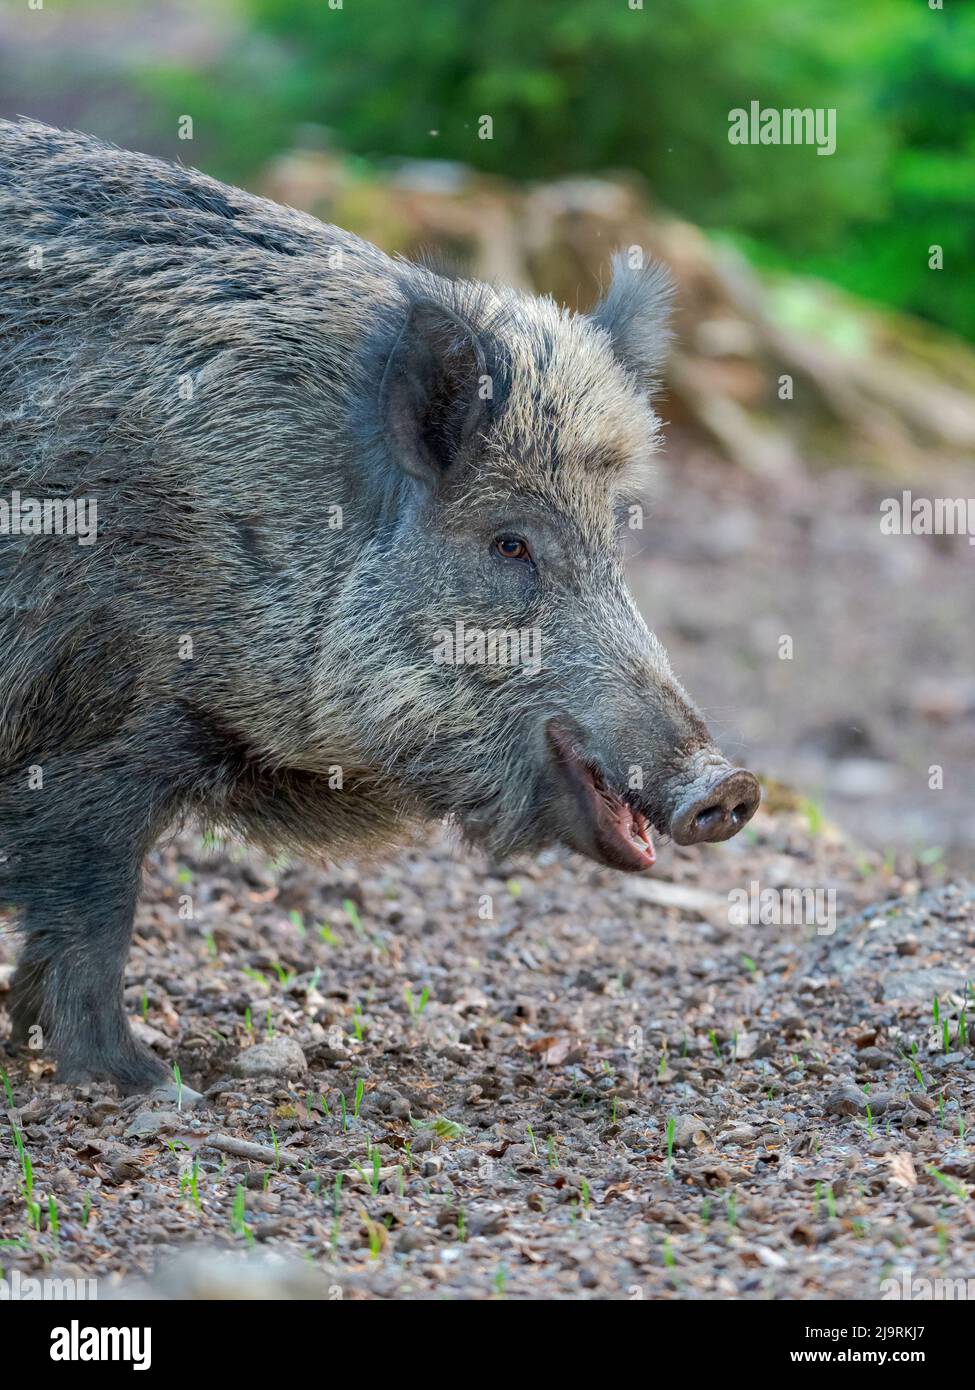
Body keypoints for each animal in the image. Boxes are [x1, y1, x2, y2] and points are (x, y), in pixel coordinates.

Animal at [0, 120, 760, 1092]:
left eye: (614, 539)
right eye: (510, 543)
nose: (728, 786)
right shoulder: (92, 736)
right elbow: (96, 915)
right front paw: (150, 1083)